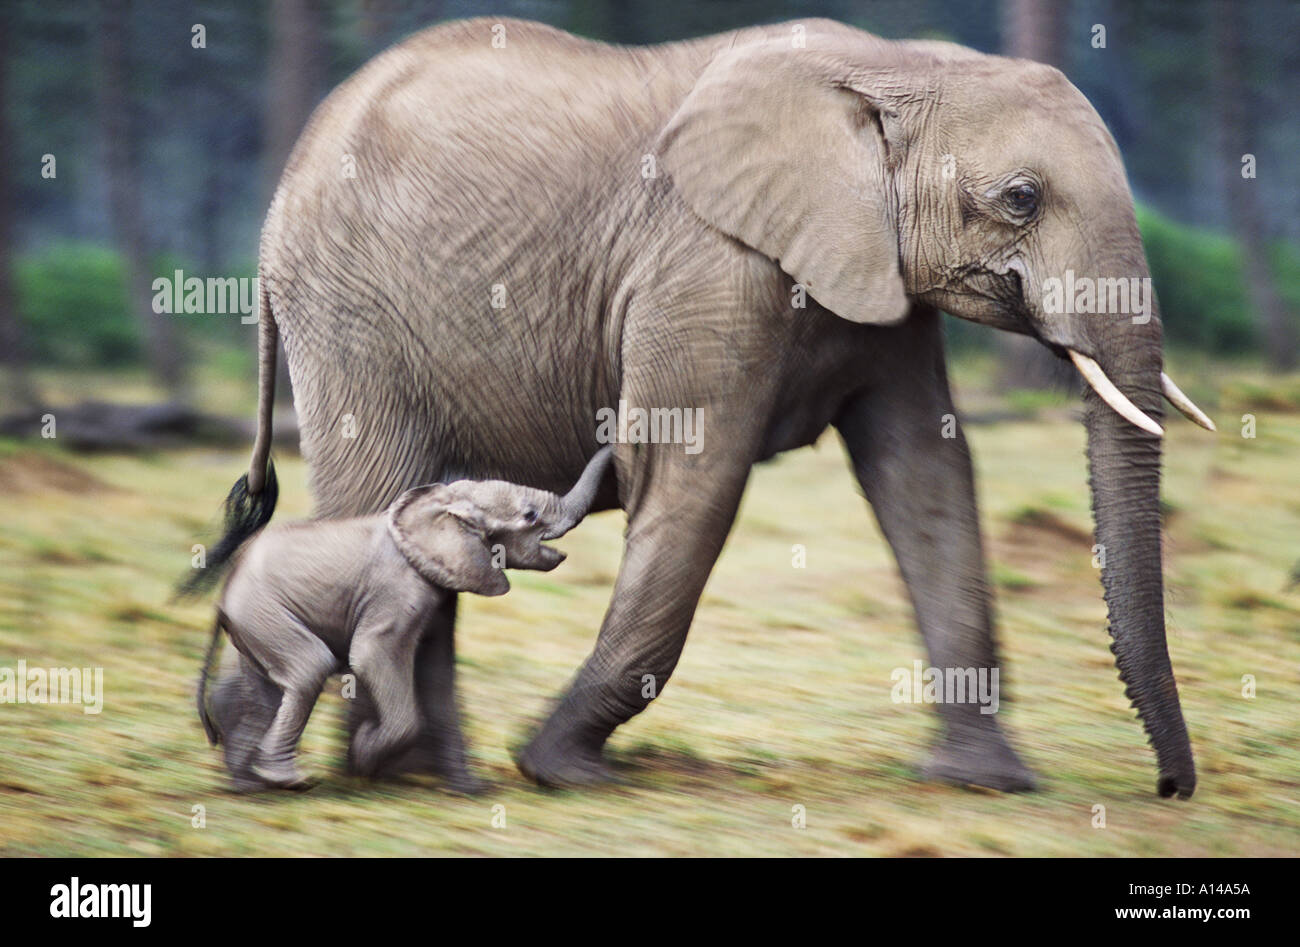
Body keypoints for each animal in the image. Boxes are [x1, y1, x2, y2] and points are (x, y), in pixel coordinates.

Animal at [195, 447, 613, 791]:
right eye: (530, 515)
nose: (612, 444)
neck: (444, 505)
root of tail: (225, 592)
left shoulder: (440, 584)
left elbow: (437, 670)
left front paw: (472, 790)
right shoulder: (398, 591)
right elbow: (372, 655)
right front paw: (364, 757)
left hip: (254, 626)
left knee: (266, 691)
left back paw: (250, 787)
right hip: (264, 612)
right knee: (310, 666)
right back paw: (289, 781)